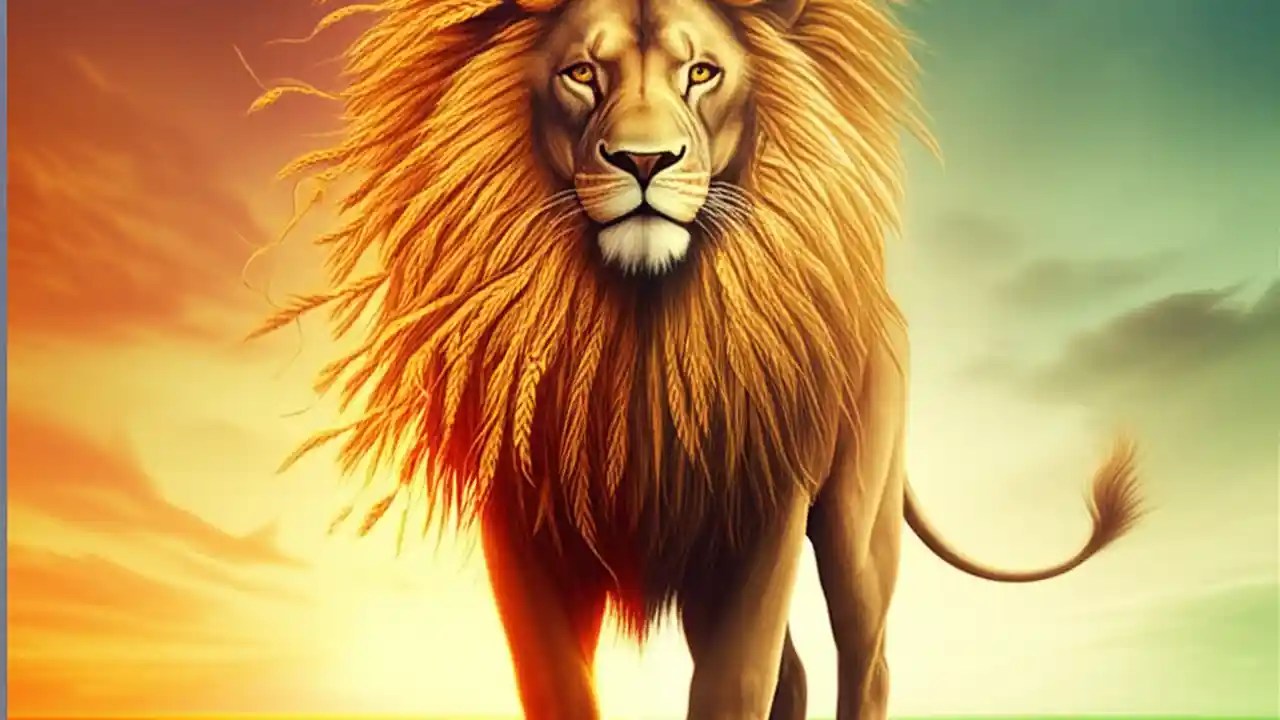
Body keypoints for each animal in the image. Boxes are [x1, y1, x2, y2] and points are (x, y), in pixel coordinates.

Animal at [254, 0, 1145, 718]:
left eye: (702, 73)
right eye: (582, 73)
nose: (645, 162)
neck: (638, 331)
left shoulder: (763, 509)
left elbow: (733, 685)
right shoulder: (524, 524)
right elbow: (559, 685)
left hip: (853, 529)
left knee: (867, 659)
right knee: (797, 673)